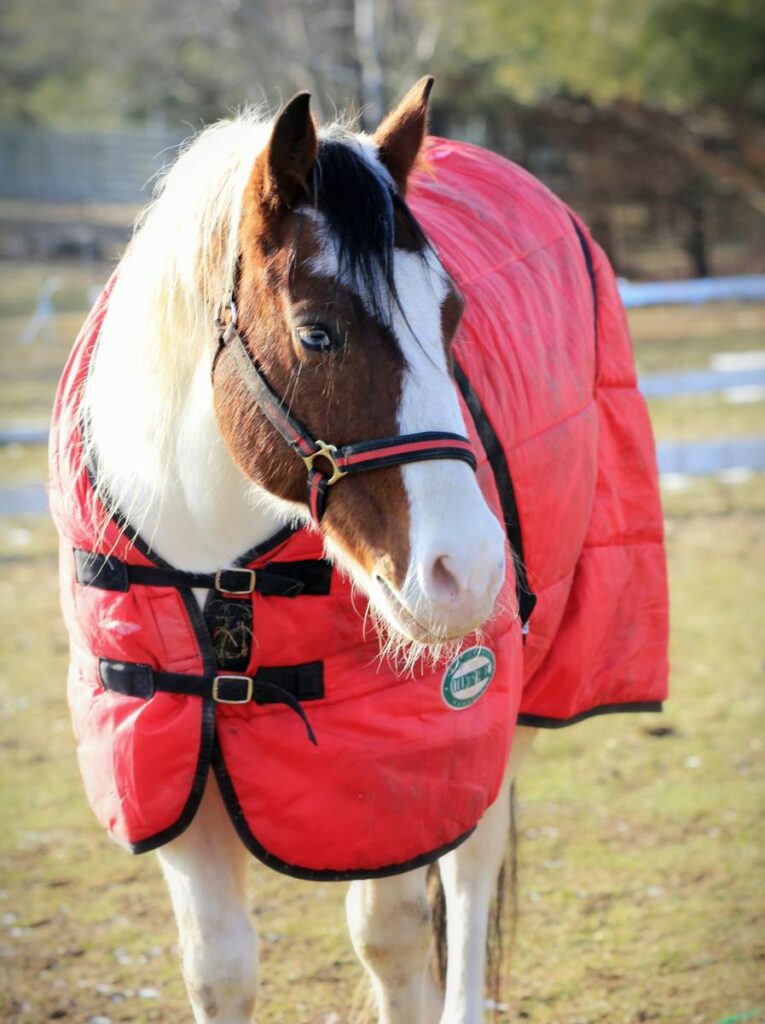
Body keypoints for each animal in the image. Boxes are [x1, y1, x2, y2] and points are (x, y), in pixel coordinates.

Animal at [50, 77, 668, 1022]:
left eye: (451, 317)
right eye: (317, 333)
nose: (470, 572)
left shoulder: (396, 782)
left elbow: (392, 936)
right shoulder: (166, 779)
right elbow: (218, 968)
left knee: (474, 865)